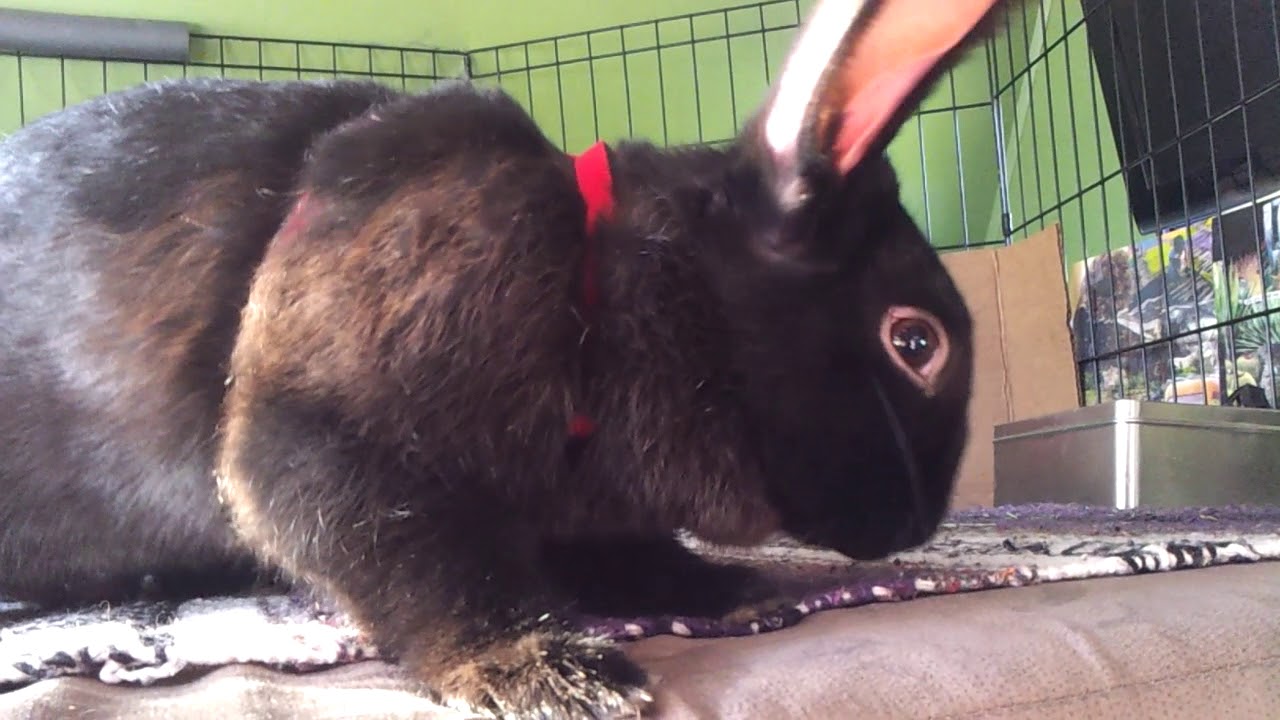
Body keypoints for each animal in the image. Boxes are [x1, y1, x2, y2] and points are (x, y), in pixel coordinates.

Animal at [0, 0, 1010, 717]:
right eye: (915, 341)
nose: (920, 526)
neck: (600, 280)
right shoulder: (330, 443)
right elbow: (425, 561)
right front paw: (547, 670)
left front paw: (726, 589)